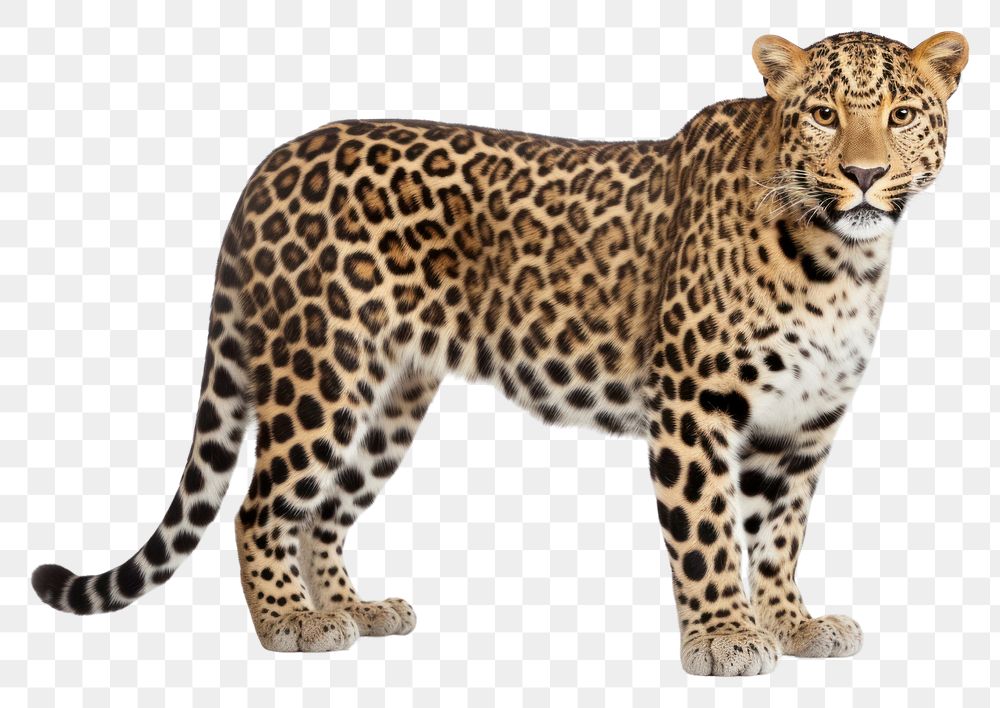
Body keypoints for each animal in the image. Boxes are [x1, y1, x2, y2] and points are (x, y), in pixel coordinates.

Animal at [32, 31, 968, 676]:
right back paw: (290, 625)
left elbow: (779, 535)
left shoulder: (803, 425)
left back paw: (355, 609)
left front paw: (792, 623)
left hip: (390, 400)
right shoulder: (695, 408)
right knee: (260, 509)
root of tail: (269, 166)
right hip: (323, 372)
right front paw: (724, 639)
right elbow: (706, 533)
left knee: (321, 513)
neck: (841, 261)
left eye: (901, 114)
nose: (863, 175)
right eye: (823, 114)